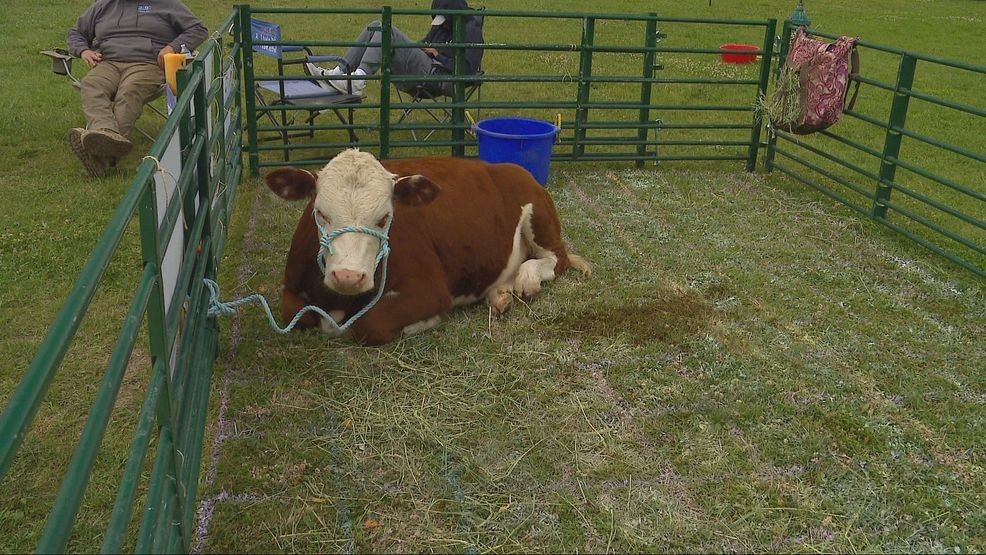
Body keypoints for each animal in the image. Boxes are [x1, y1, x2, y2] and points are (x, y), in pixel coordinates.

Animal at [265, 149, 590, 345]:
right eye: (320, 213)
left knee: (556, 258)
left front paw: (427, 321)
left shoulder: (430, 291)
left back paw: (527, 279)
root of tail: (511, 169)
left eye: (384, 218)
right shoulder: (290, 286)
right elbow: (295, 313)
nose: (348, 276)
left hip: (540, 218)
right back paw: (499, 295)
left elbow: (369, 324)